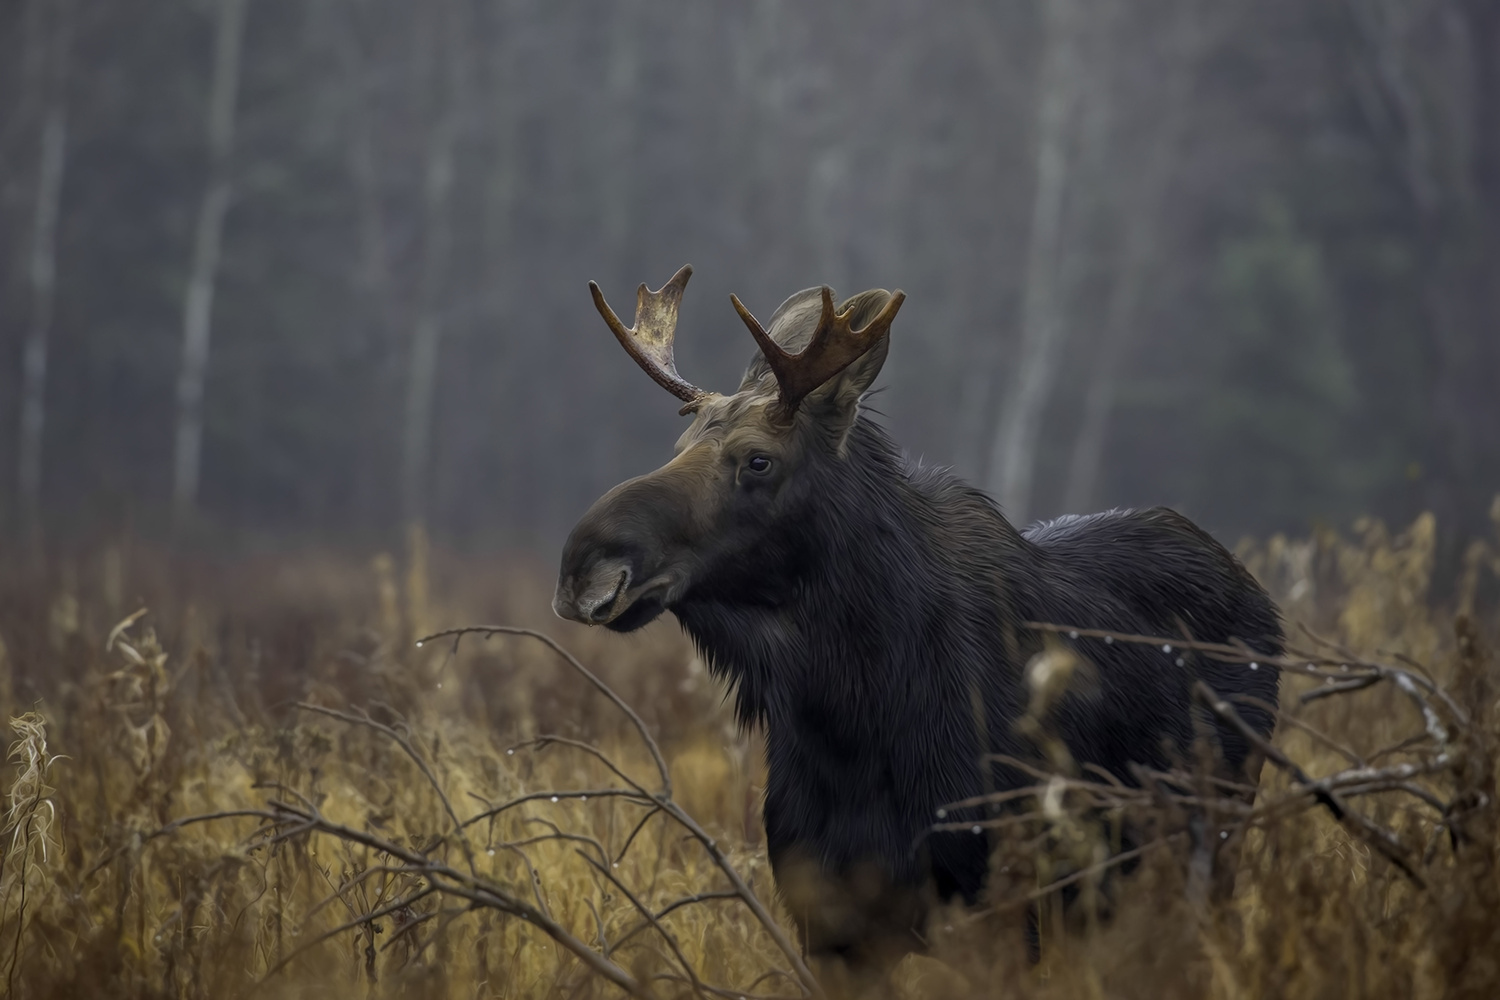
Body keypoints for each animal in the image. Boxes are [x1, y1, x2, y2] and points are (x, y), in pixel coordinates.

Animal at [553, 265, 1283, 981]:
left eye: (758, 459)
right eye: (678, 444)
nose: (583, 564)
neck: (851, 720)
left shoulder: (1001, 909)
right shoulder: (832, 926)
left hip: (1208, 845)